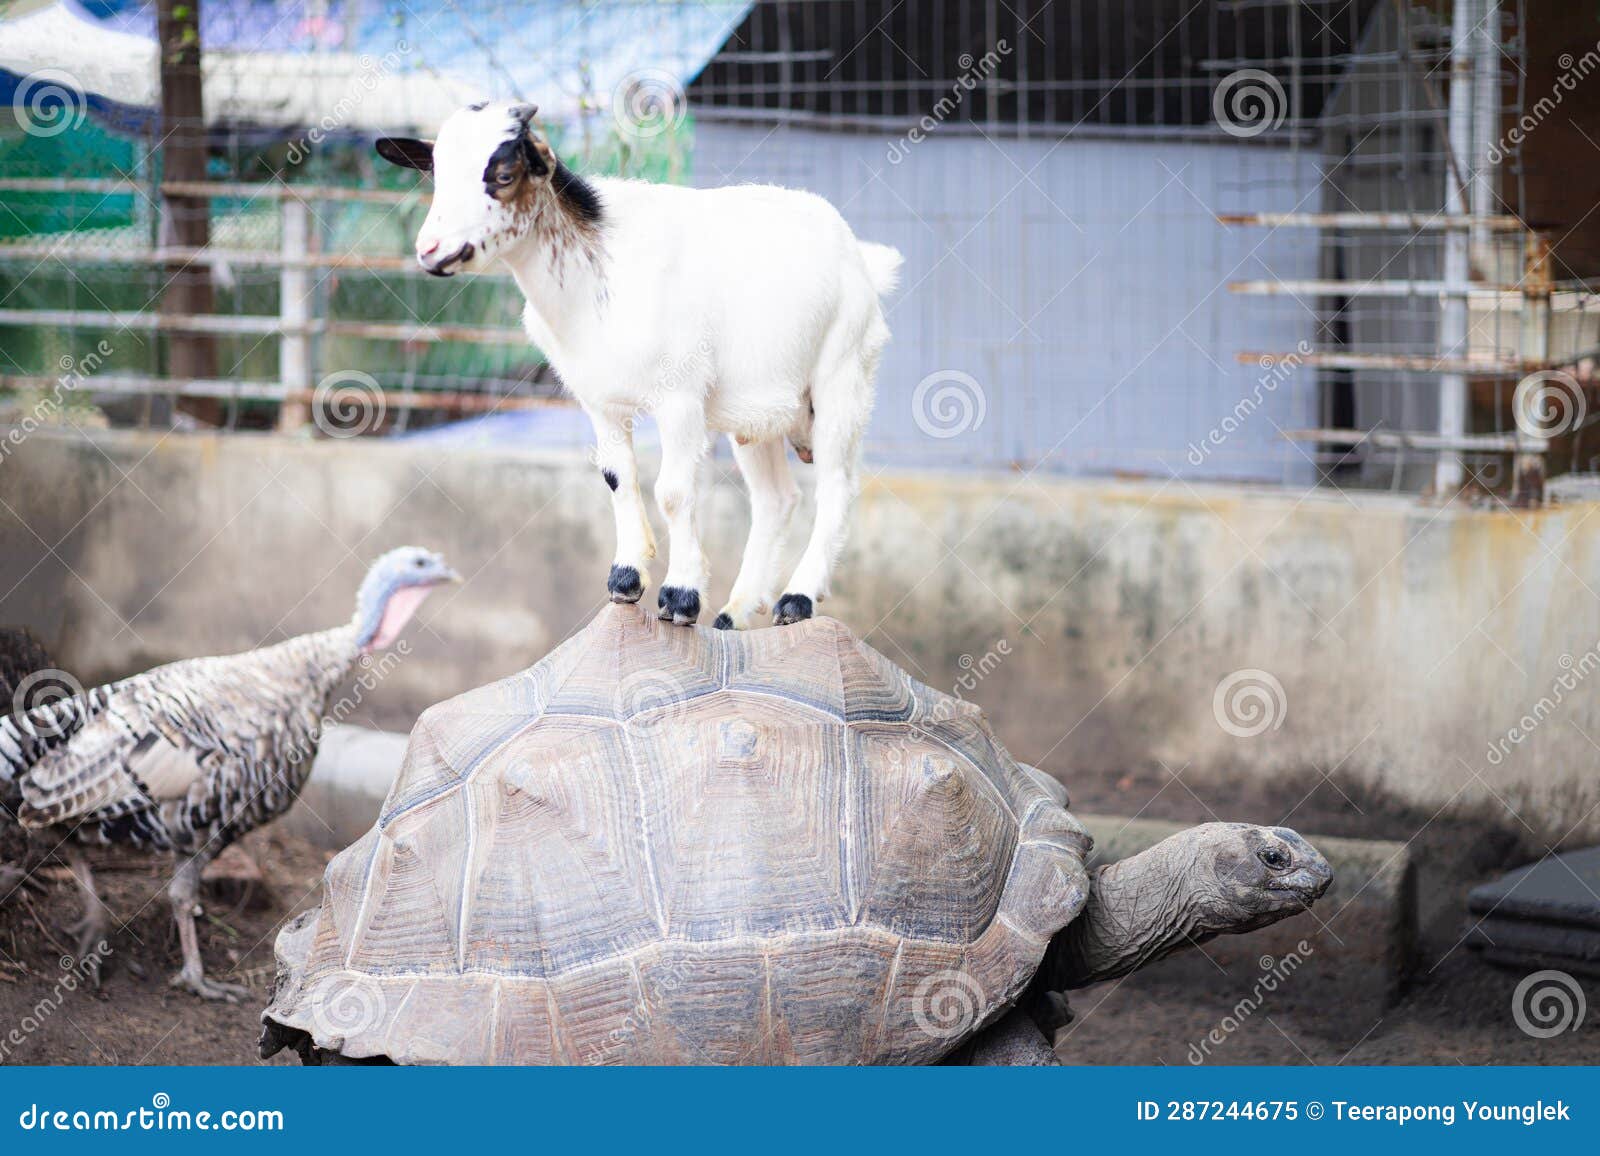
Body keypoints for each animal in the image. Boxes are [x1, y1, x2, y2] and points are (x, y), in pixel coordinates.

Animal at [377, 102, 902, 629]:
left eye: (503, 174)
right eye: (436, 174)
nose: (430, 250)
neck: (596, 281)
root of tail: (861, 258)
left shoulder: (681, 397)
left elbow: (672, 490)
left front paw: (681, 596)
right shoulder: (598, 401)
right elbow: (617, 477)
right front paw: (626, 580)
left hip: (843, 376)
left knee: (836, 487)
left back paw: (797, 599)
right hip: (758, 411)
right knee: (777, 497)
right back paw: (733, 614)